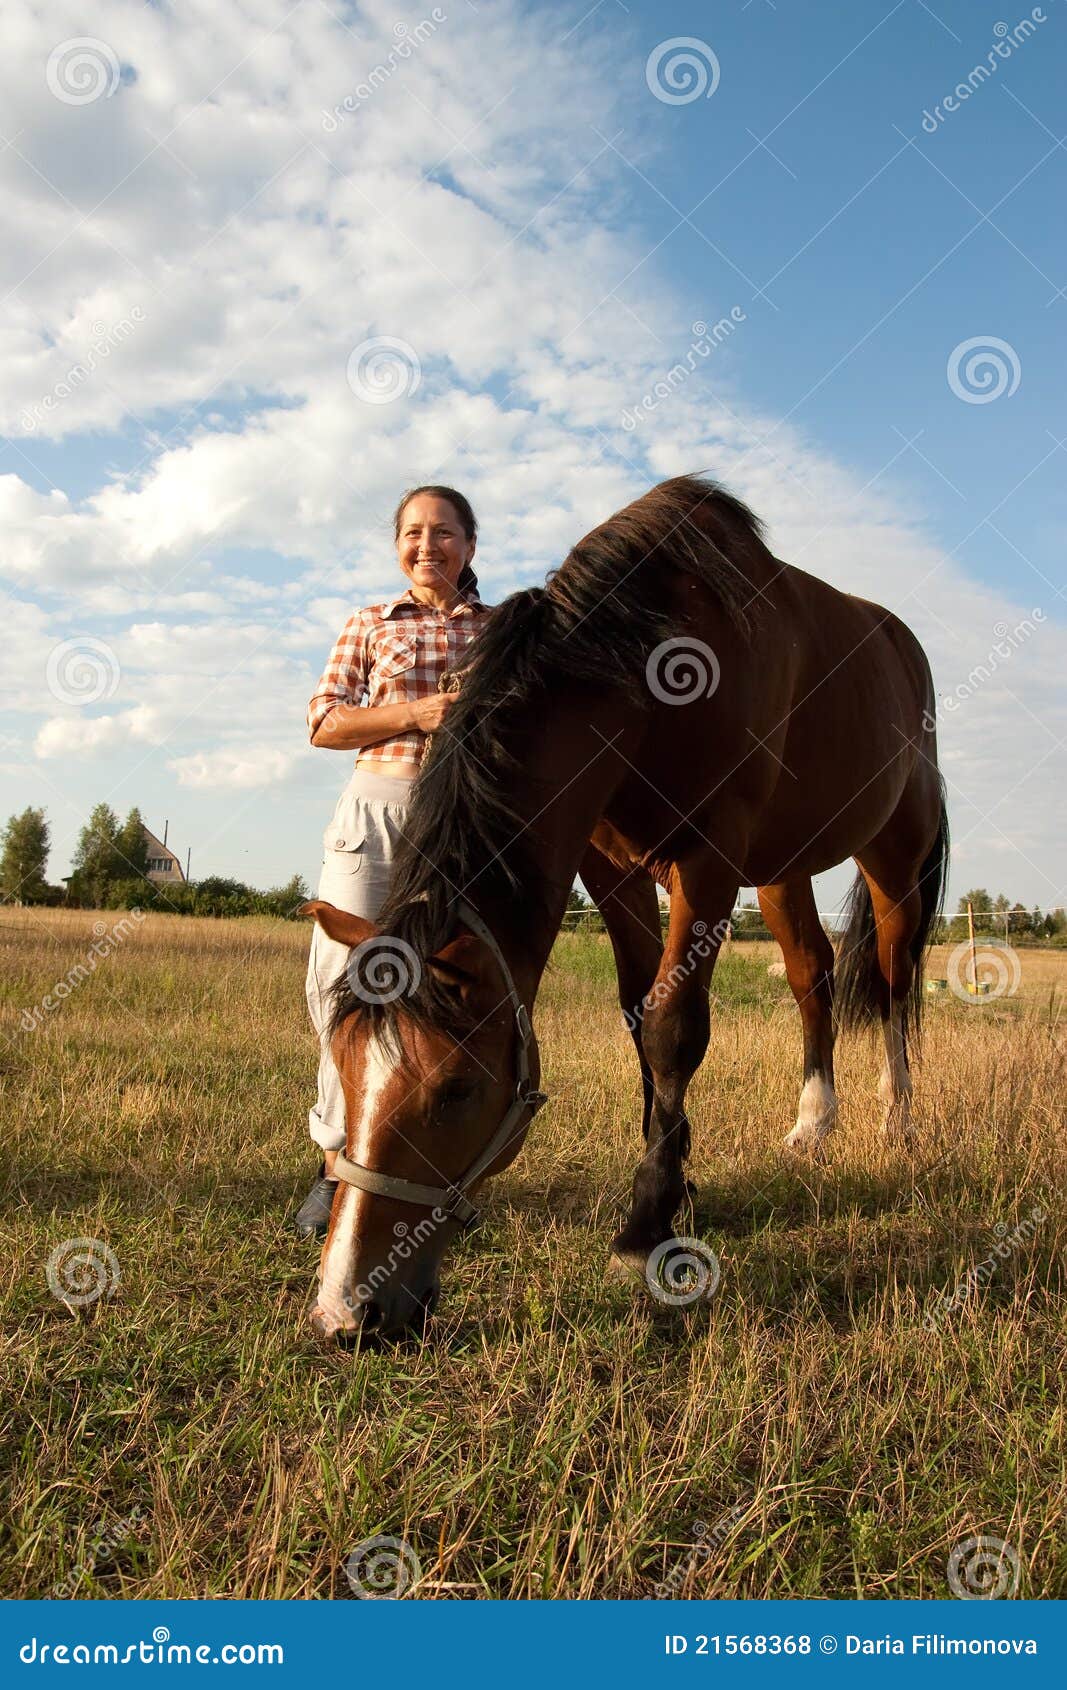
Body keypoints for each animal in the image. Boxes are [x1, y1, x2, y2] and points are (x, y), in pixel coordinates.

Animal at [301, 475, 949, 1341]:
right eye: (342, 1065)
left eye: (455, 1090)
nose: (346, 1315)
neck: (651, 668)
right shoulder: (610, 866)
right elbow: (642, 1015)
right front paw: (674, 1183)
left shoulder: (708, 858)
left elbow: (675, 1029)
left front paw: (643, 1228)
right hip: (781, 871)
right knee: (811, 978)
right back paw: (813, 1125)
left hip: (891, 857)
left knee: (894, 981)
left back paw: (897, 1124)